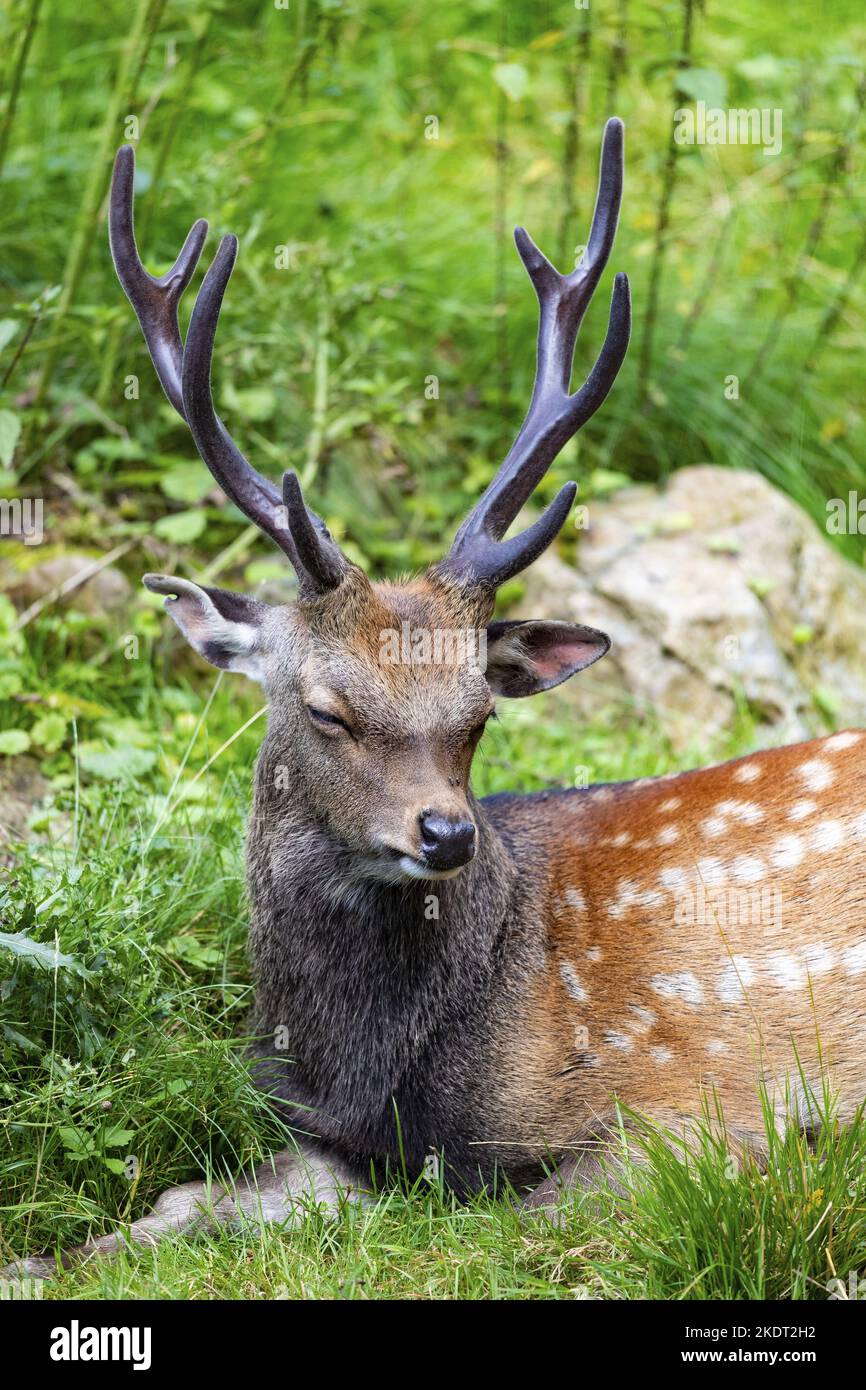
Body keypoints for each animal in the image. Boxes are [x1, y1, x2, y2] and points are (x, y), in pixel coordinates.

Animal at [7, 118, 866, 1279]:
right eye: (326, 708)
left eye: (479, 712)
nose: (445, 832)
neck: (390, 1075)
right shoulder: (318, 1132)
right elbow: (194, 1200)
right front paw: (44, 1259)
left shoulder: (700, 1108)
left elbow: (513, 1215)